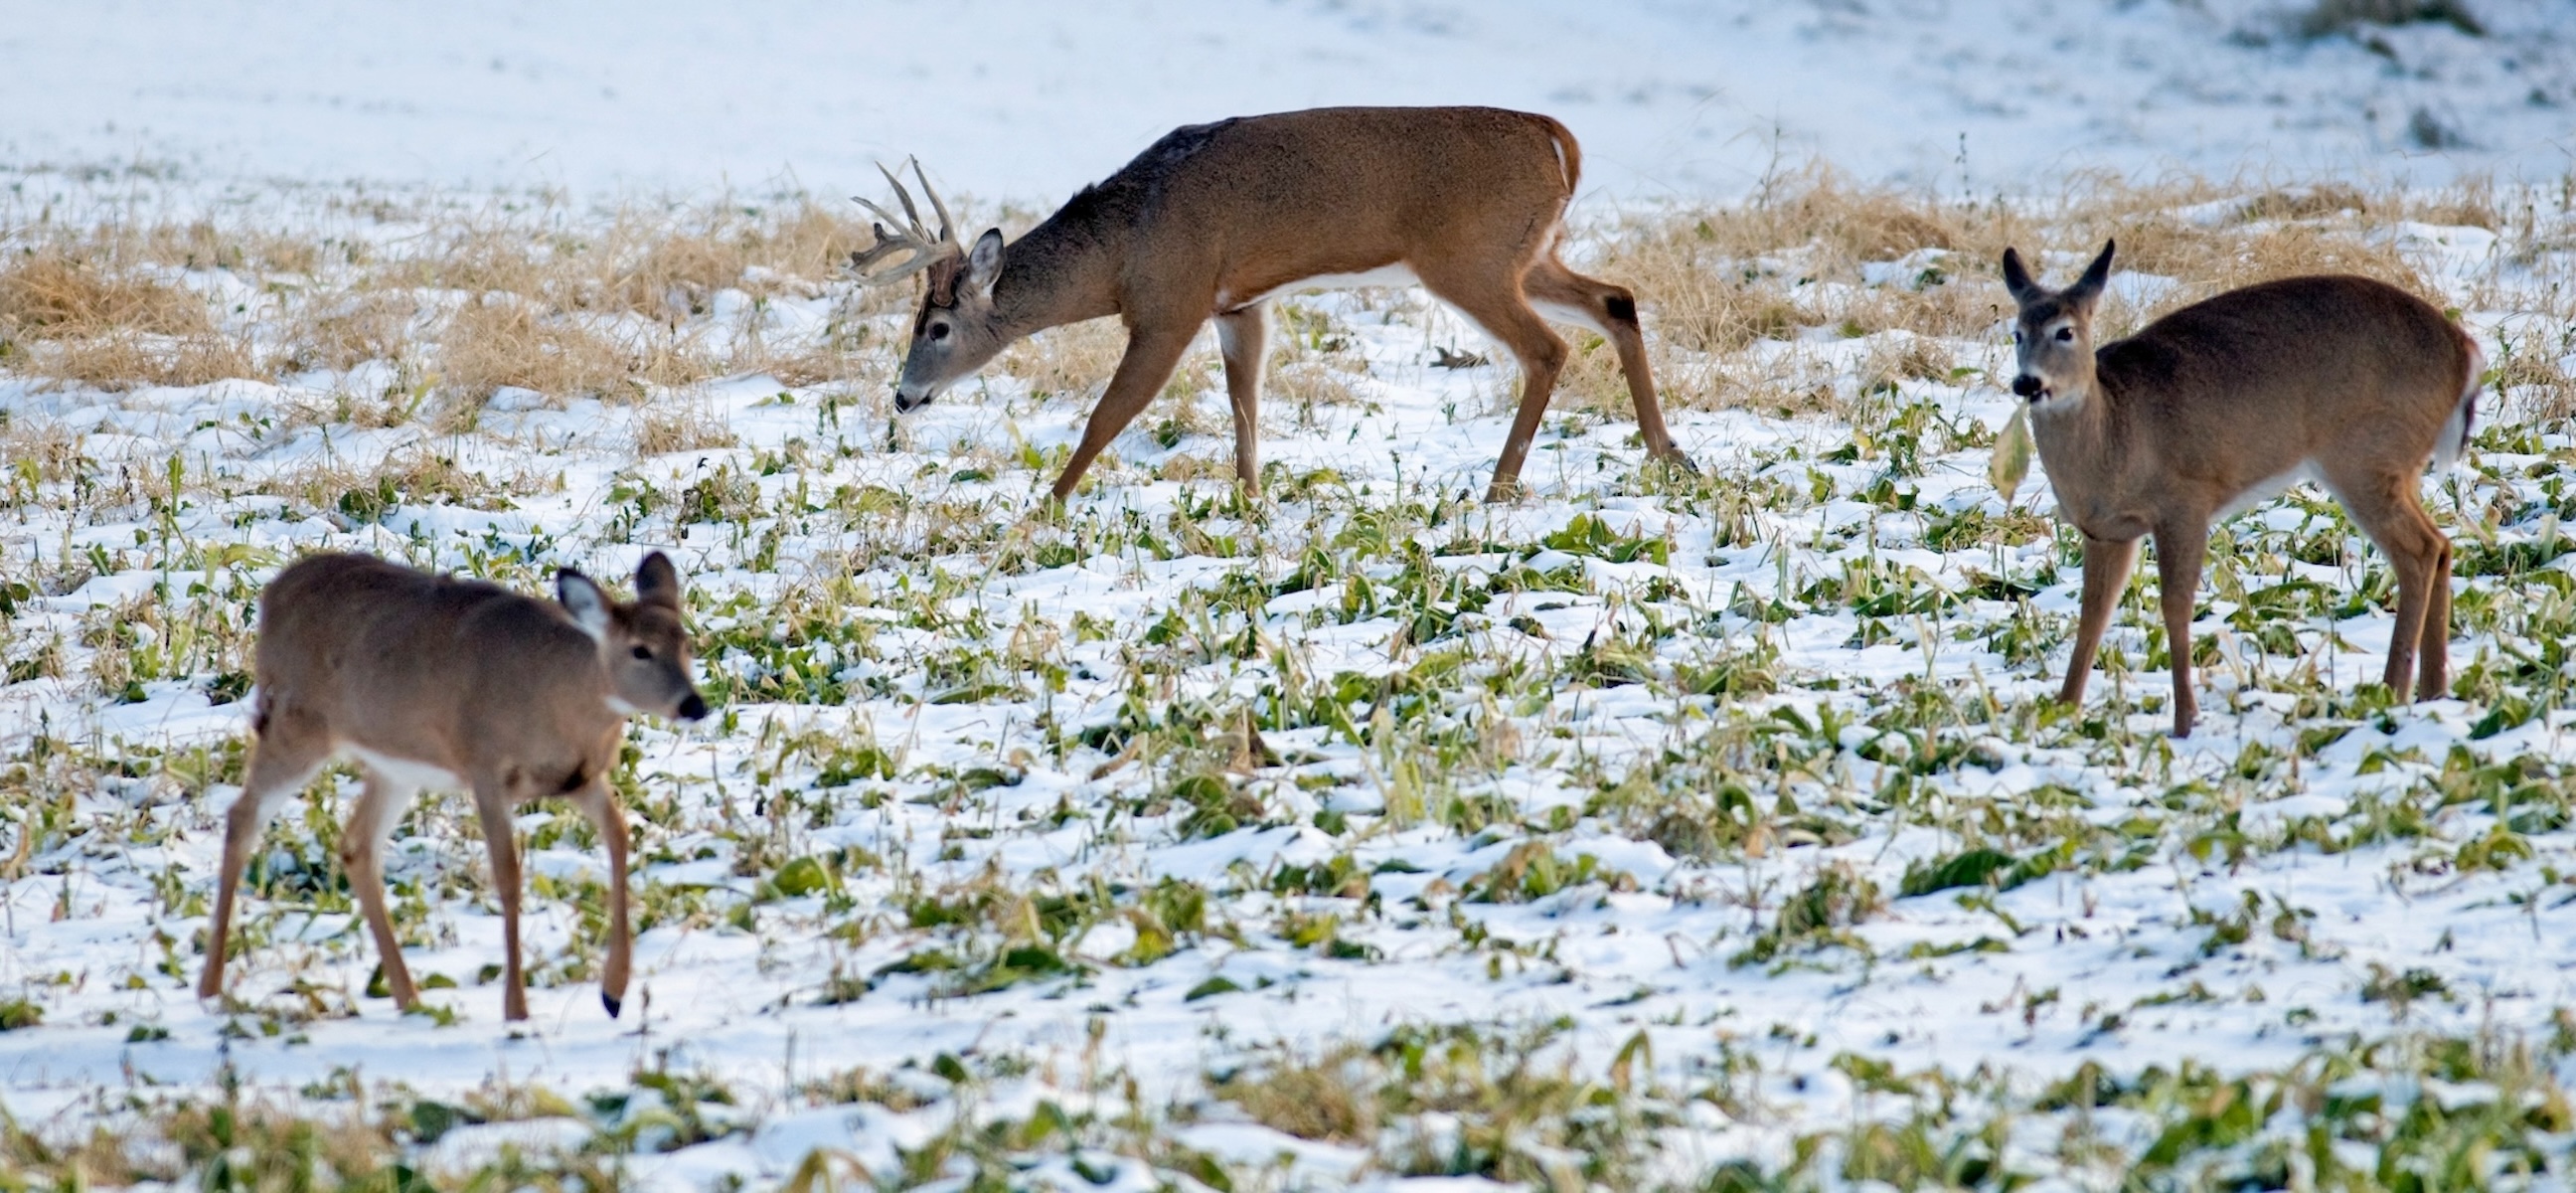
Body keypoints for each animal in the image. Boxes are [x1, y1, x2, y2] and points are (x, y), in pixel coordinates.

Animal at [197, 551, 708, 1021]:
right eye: (640, 649)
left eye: (685, 642)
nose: (694, 705)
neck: (558, 694)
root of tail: (274, 592)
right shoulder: (486, 769)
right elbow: (508, 875)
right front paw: (516, 1010)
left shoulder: (581, 778)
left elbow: (620, 836)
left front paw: (613, 992)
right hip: (297, 726)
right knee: (243, 817)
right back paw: (210, 987)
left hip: (394, 765)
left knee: (356, 845)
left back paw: (410, 997)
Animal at [846, 106, 1691, 503]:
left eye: (938, 326)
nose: (904, 397)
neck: (1126, 241)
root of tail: (1557, 139)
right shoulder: (1237, 305)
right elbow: (1244, 405)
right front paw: (1250, 502)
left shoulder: (1172, 302)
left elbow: (1107, 416)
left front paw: (1043, 507)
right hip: (1528, 254)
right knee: (1615, 300)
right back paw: (1667, 452)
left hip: (1470, 260)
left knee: (1549, 347)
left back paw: (1498, 486)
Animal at [2001, 241, 2483, 737]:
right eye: (2017, 333)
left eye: (2065, 331)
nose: (2027, 382)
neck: (2116, 433)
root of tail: (2464, 352)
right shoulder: (2106, 531)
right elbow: (2092, 614)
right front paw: (2065, 709)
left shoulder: (2185, 503)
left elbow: (2175, 607)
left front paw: (2185, 719)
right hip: (2398, 466)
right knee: (2441, 544)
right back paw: (2432, 691)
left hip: (2364, 457)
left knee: (2420, 550)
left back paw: (2391, 691)